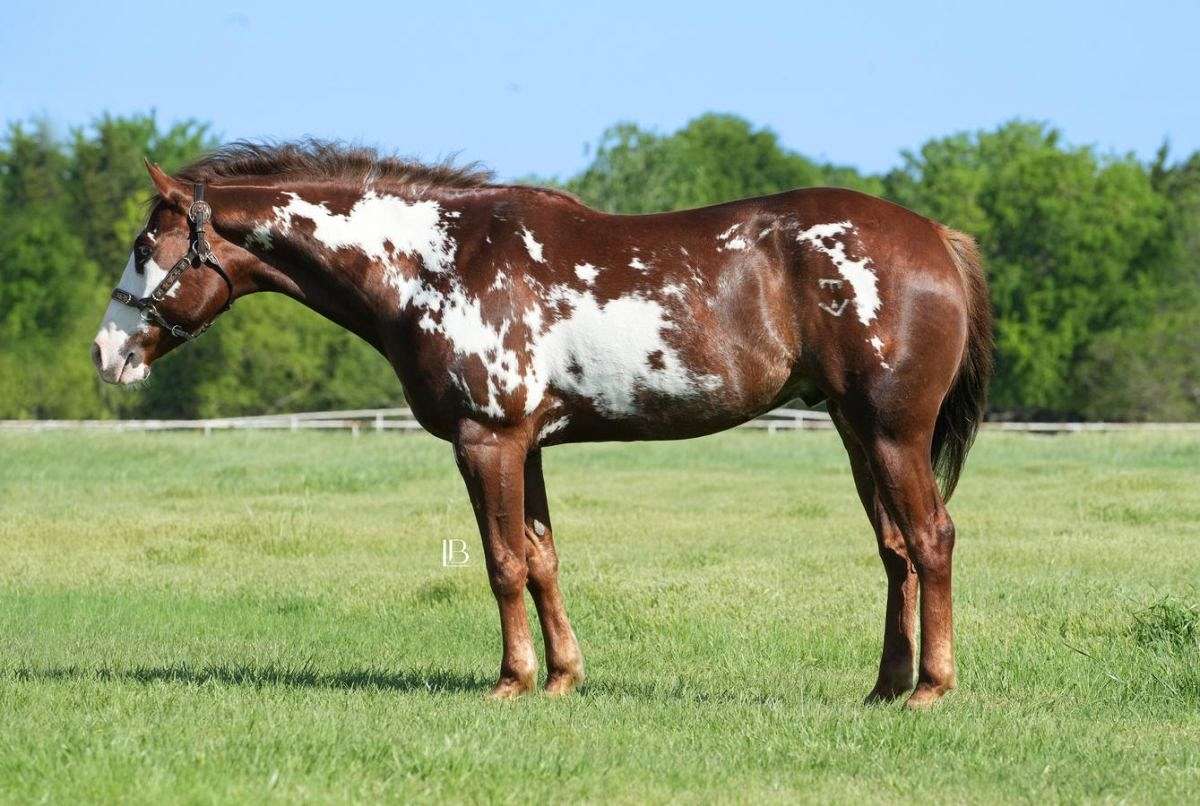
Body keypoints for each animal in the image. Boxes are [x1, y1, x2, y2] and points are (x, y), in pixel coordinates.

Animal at [92, 142, 992, 708]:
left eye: (143, 243)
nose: (106, 354)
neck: (437, 261)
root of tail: (937, 237)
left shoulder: (485, 441)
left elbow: (501, 565)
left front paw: (511, 681)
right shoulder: (526, 448)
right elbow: (543, 559)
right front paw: (563, 677)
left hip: (891, 434)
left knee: (932, 540)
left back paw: (931, 689)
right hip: (855, 433)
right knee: (896, 551)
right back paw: (884, 687)